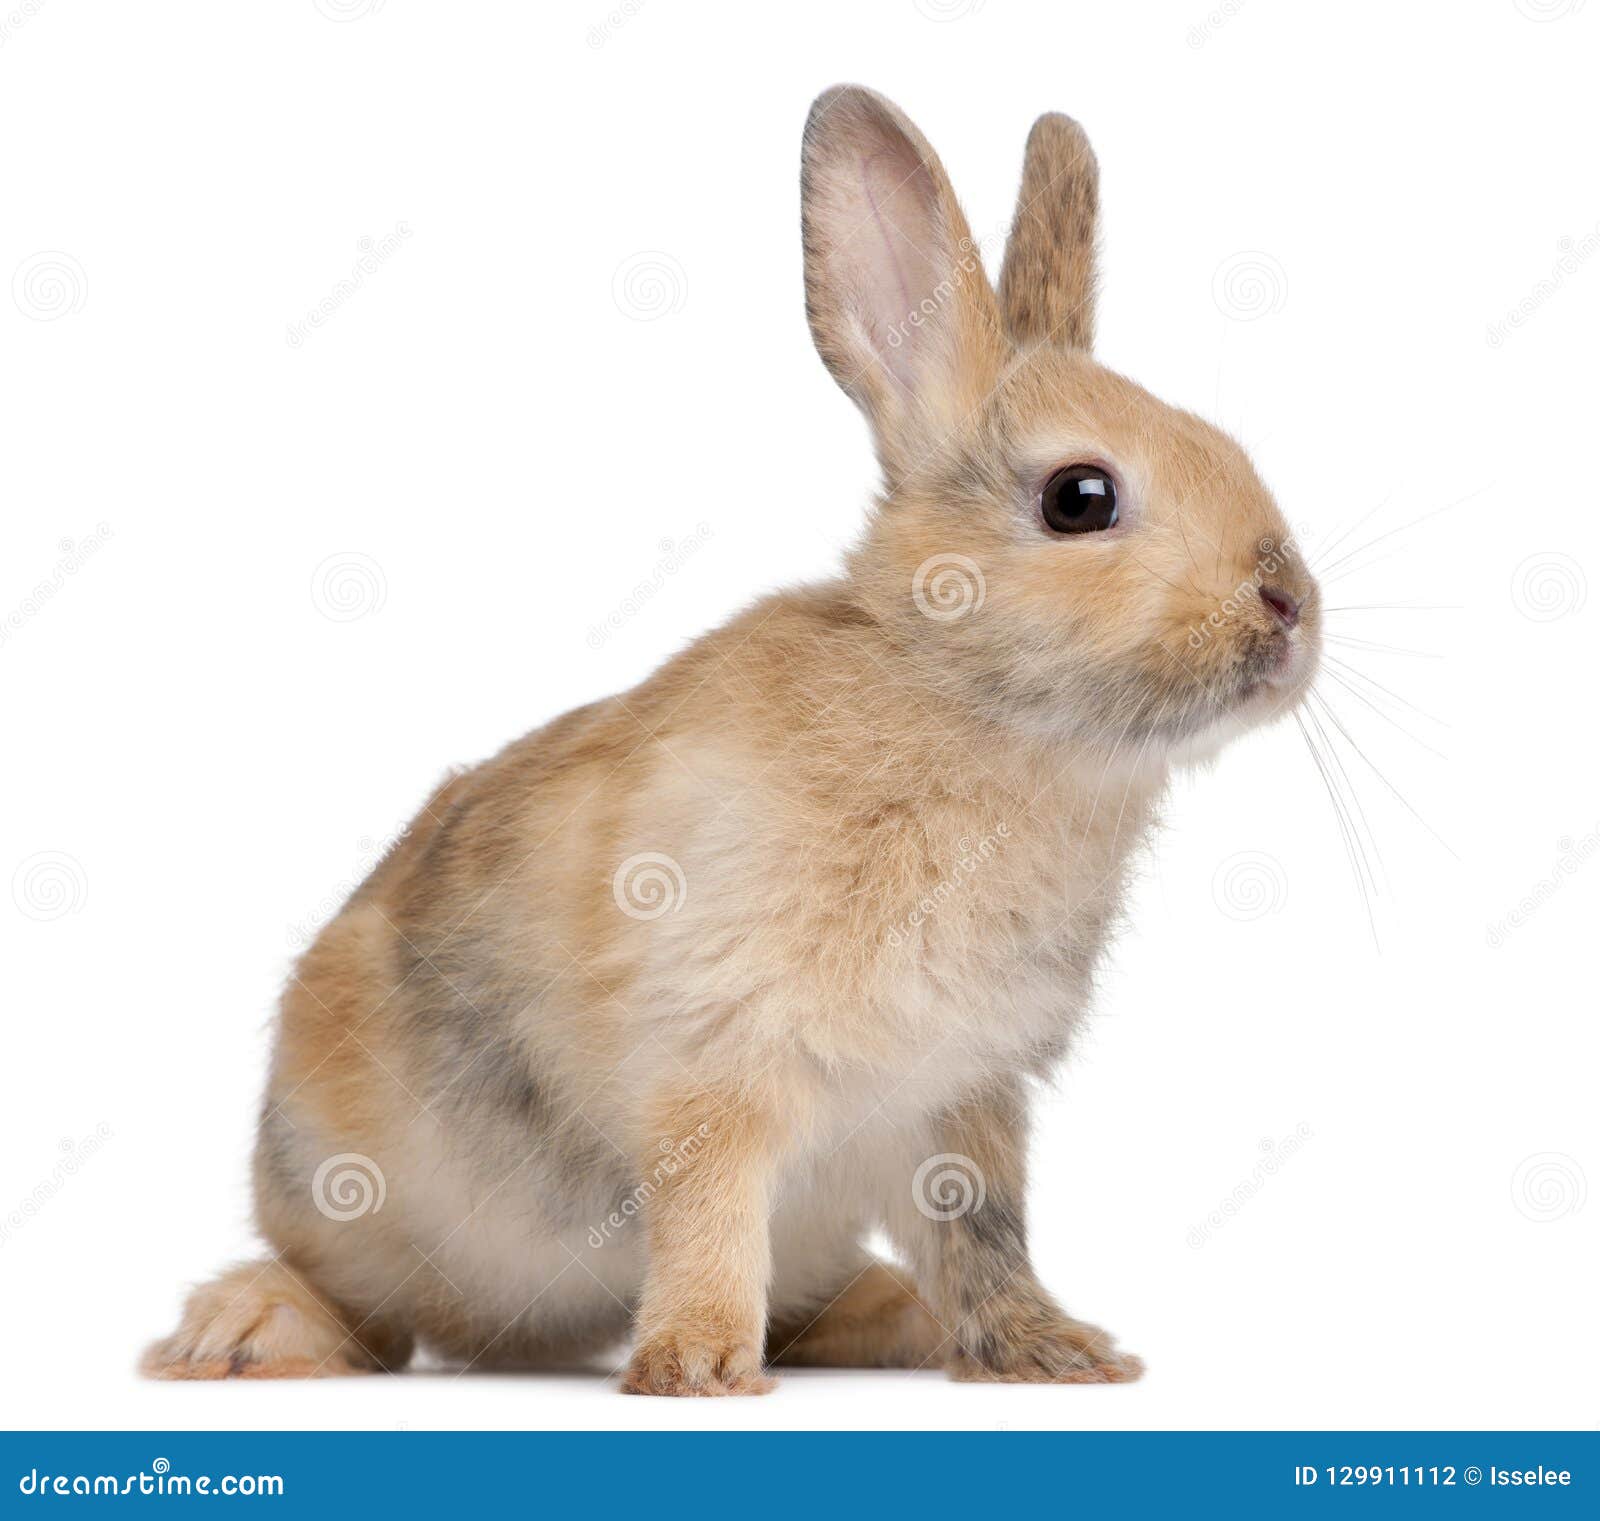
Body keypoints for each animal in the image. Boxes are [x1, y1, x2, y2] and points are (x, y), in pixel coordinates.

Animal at [143, 85, 1319, 1395]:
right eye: (1080, 498)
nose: (1288, 606)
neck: (961, 704)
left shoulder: (964, 1101)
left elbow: (985, 1235)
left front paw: (1051, 1355)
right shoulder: (715, 1066)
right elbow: (710, 1212)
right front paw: (697, 1367)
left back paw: (891, 1316)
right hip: (348, 1192)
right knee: (362, 1310)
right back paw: (244, 1330)